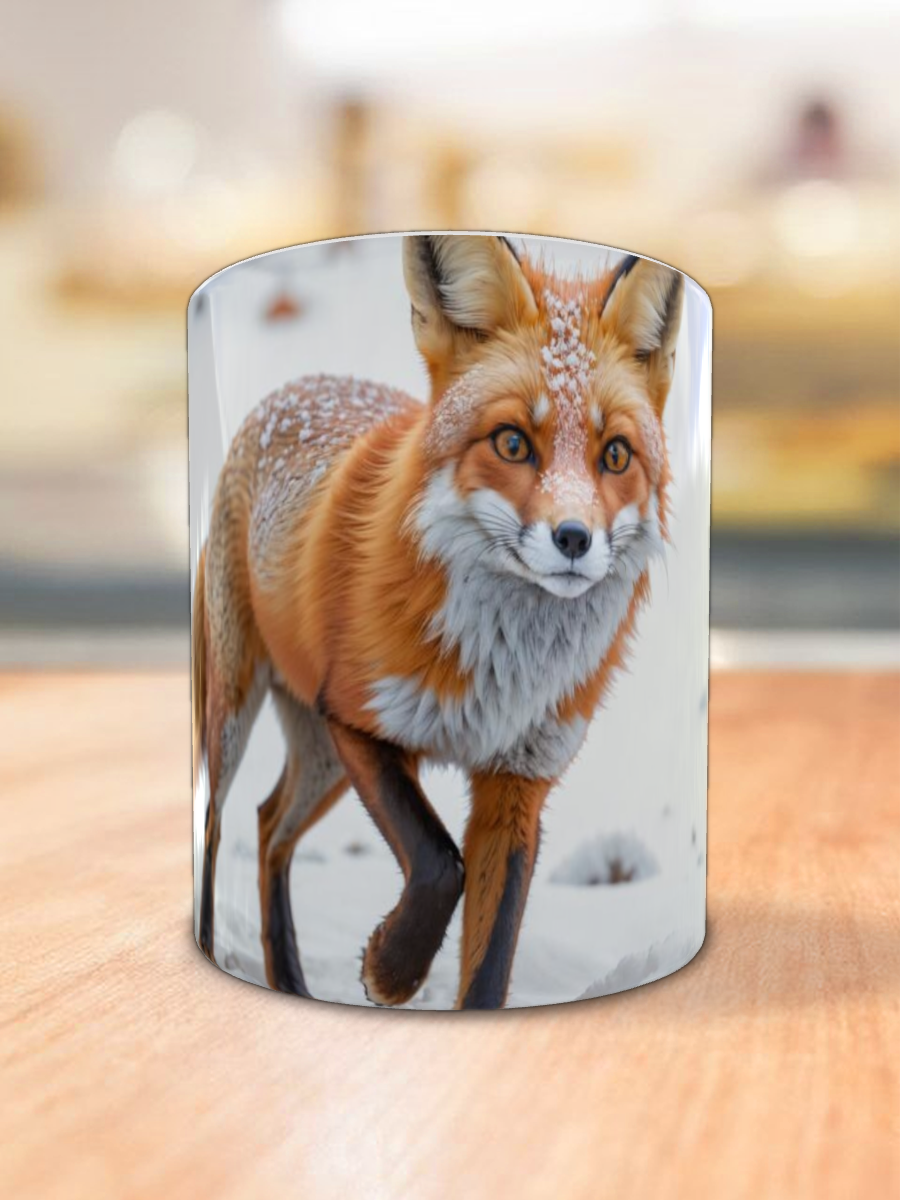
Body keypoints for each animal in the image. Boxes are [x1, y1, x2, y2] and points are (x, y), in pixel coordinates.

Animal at [192, 233, 684, 1009]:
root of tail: (294, 388)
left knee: (271, 825)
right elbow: (436, 861)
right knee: (216, 827)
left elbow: (489, 958)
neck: (501, 670)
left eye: (615, 455)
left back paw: (290, 979)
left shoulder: (519, 782)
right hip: (244, 718)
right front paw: (391, 969)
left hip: (321, 756)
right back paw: (223, 948)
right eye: (512, 443)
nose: (574, 539)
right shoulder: (361, 718)